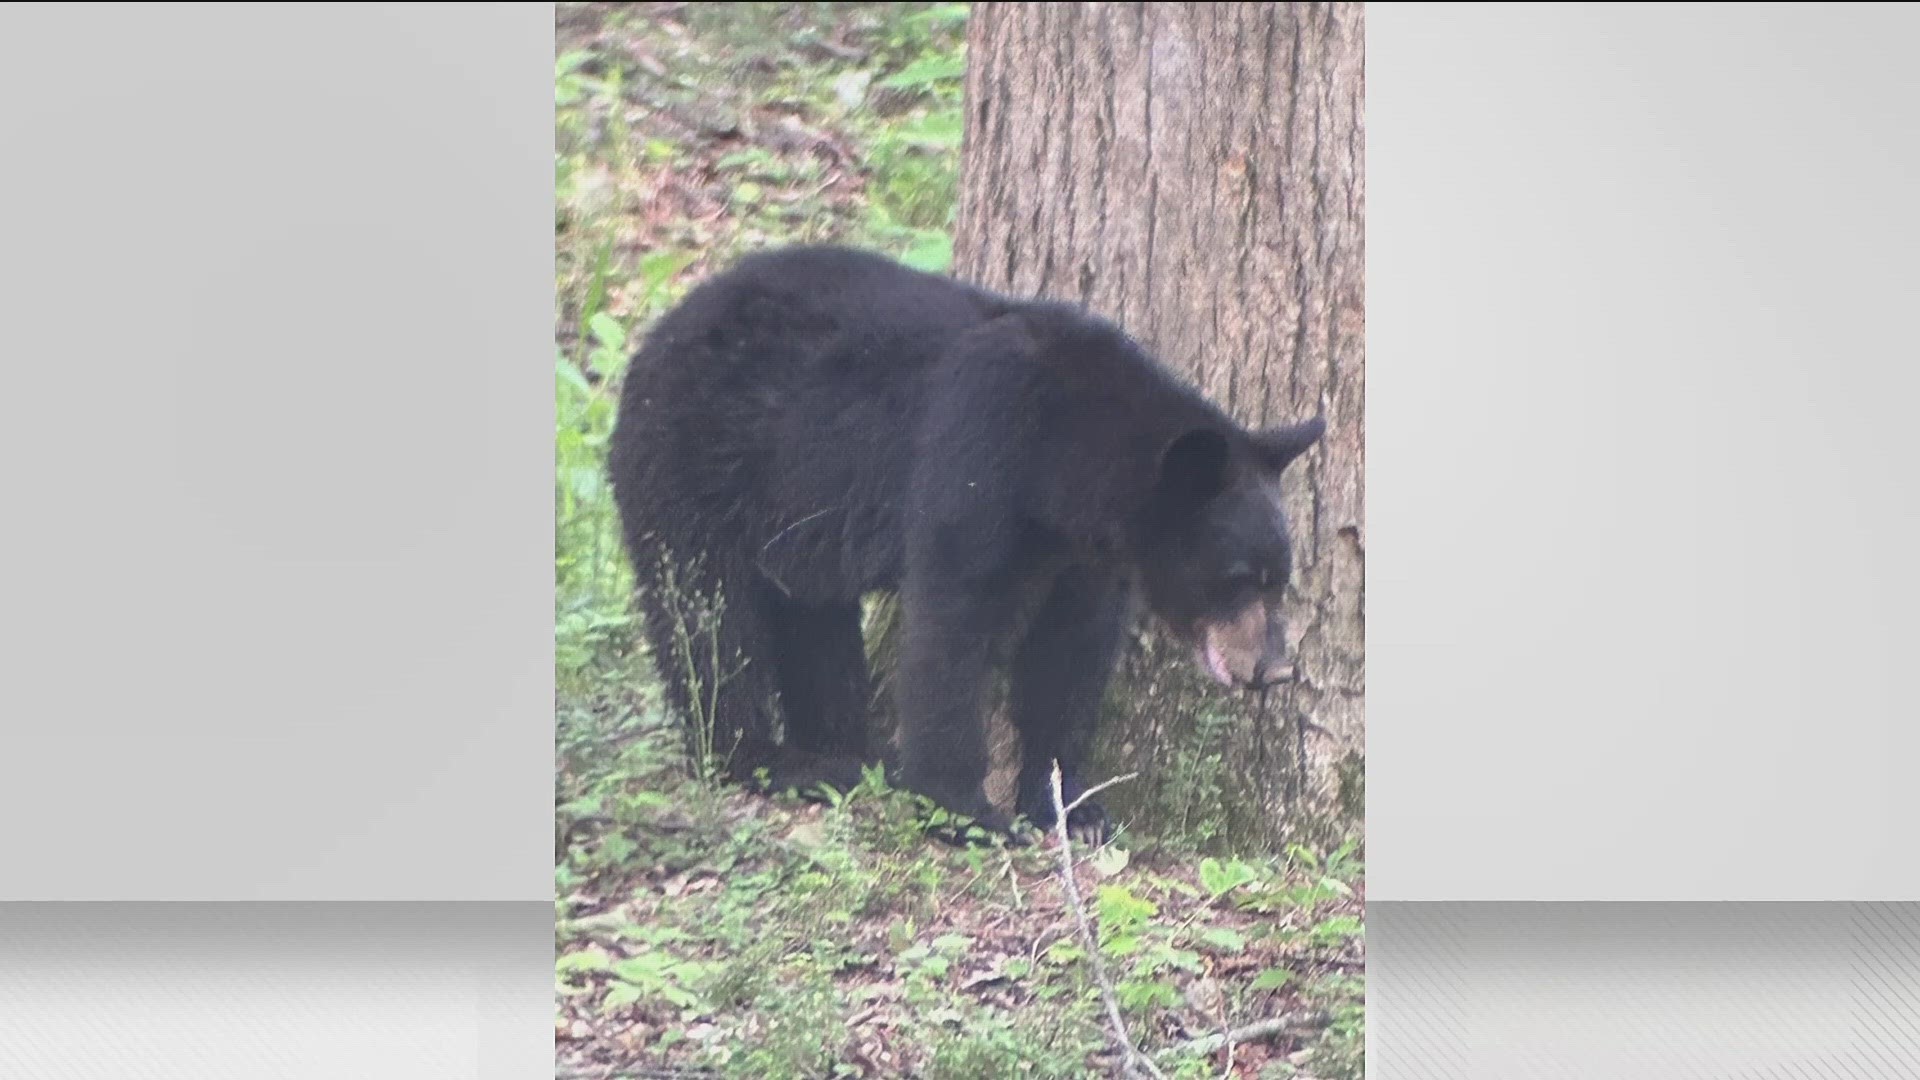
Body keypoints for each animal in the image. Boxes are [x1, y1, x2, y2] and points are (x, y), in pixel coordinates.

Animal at [606, 244, 1323, 844]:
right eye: (1237, 576)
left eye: (1280, 577)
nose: (1272, 668)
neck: (1067, 450)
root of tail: (655, 336)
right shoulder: (979, 454)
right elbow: (953, 625)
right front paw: (967, 811)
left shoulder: (1083, 555)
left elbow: (1071, 653)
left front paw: (1073, 806)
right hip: (693, 467)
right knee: (707, 619)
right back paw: (771, 759)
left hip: (792, 518)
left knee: (812, 621)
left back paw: (851, 751)